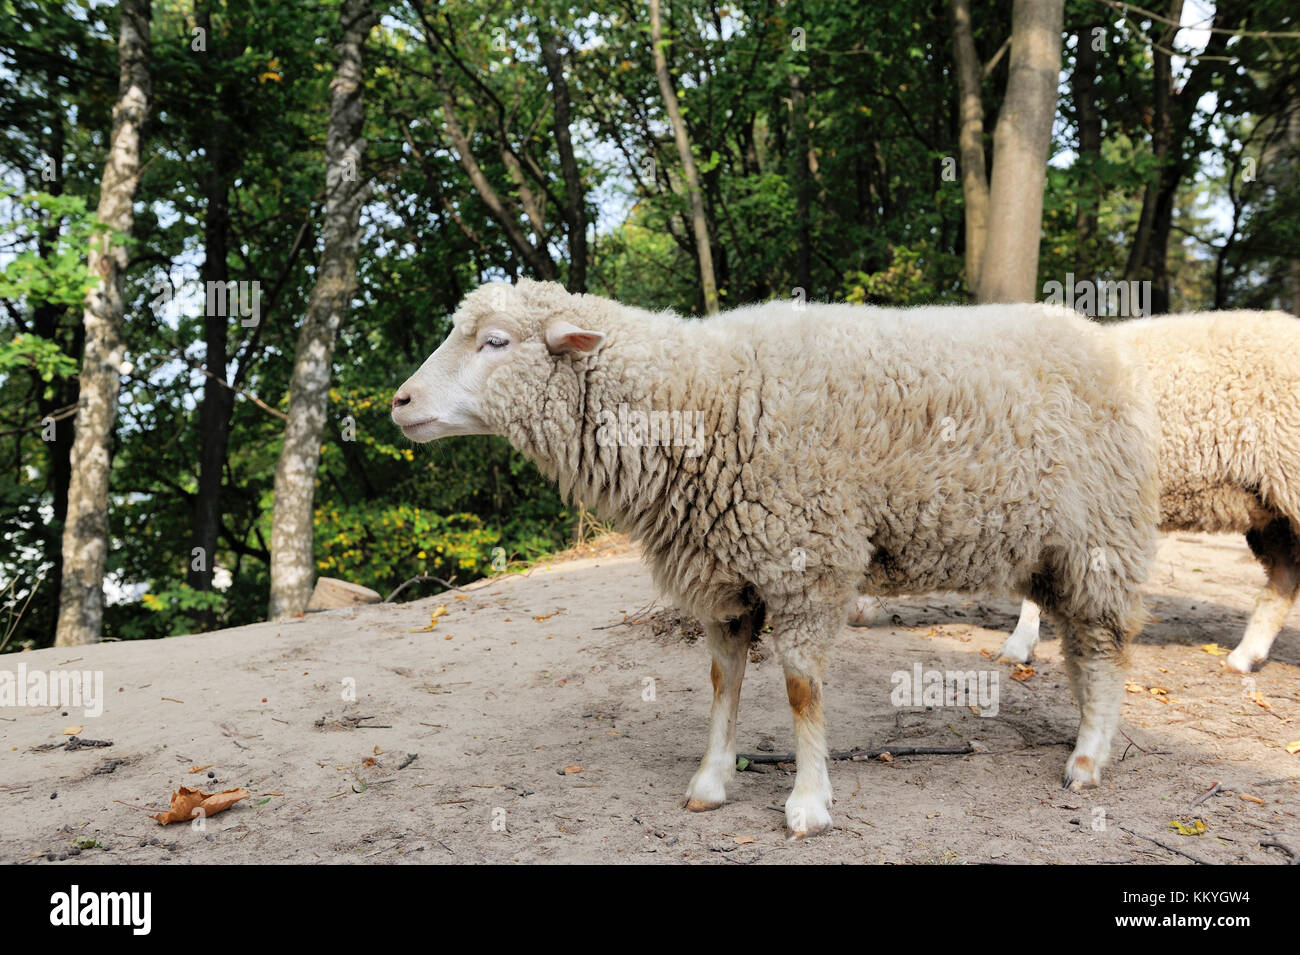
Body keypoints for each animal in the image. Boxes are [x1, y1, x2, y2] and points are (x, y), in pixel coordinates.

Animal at [391, 279, 1160, 837]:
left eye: (495, 341)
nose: (399, 402)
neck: (696, 399)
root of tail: (1099, 342)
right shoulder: (723, 574)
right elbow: (721, 680)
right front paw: (710, 781)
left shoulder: (807, 562)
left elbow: (799, 689)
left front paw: (808, 804)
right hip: (1053, 550)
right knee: (1083, 647)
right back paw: (1085, 728)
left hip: (1100, 537)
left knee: (1107, 643)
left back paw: (1088, 758)